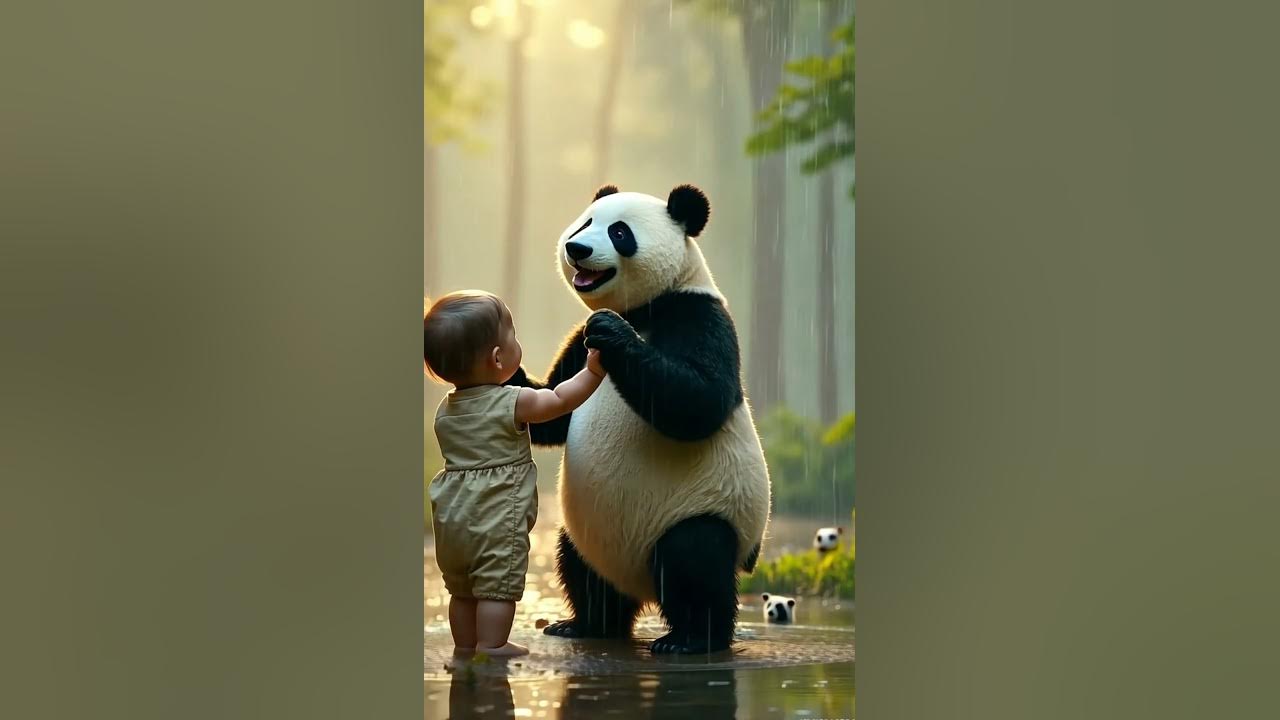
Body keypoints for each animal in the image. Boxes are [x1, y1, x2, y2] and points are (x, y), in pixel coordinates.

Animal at [506, 183, 771, 655]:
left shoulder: (698, 314)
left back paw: (690, 638)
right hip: (589, 528)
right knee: (578, 563)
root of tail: (640, 585)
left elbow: (700, 401)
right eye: (584, 223)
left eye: (619, 232)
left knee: (694, 558)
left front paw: (614, 335)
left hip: (704, 507)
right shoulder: (578, 339)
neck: (645, 307)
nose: (576, 248)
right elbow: (550, 410)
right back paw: (587, 623)